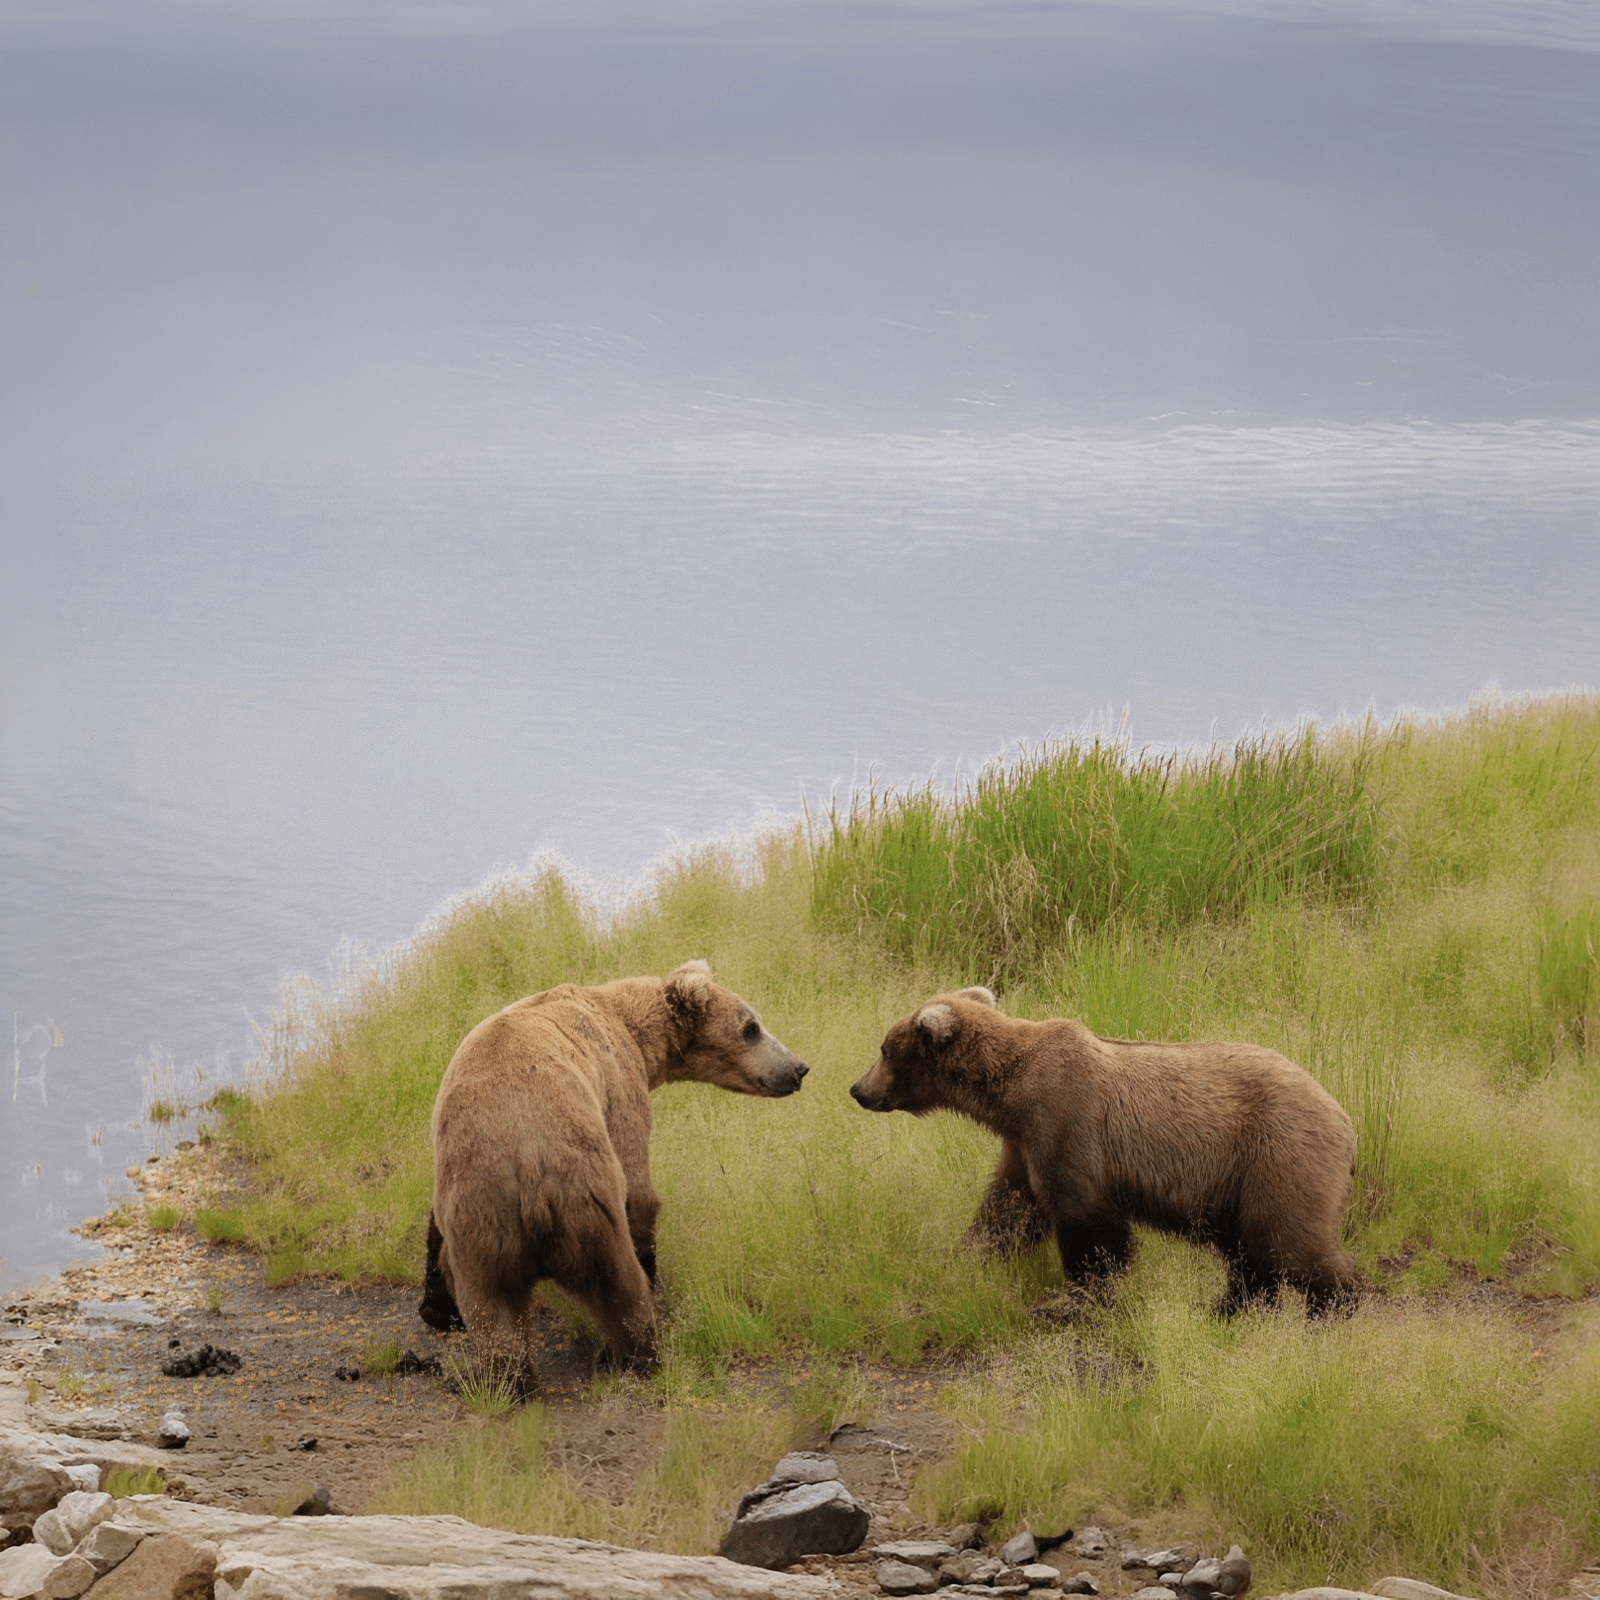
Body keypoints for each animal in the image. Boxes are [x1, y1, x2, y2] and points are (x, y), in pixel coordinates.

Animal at [422, 959, 808, 1380]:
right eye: (751, 1027)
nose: (798, 1068)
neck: (631, 1027)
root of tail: (529, 1172)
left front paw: (436, 1305)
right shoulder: (620, 1085)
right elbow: (639, 1186)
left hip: (481, 1215)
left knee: (493, 1311)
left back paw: (511, 1377)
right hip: (585, 1195)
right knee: (619, 1282)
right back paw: (643, 1351)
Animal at [850, 986, 1359, 1315]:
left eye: (884, 1048)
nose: (857, 1089)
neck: (1010, 1097)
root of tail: (1343, 1115)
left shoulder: (1066, 1122)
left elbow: (1087, 1222)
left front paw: (1071, 1300)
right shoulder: (1023, 1143)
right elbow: (1008, 1209)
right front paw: (962, 1260)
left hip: (1277, 1152)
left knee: (1288, 1240)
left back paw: (1336, 1306)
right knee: (1250, 1255)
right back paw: (1223, 1307)